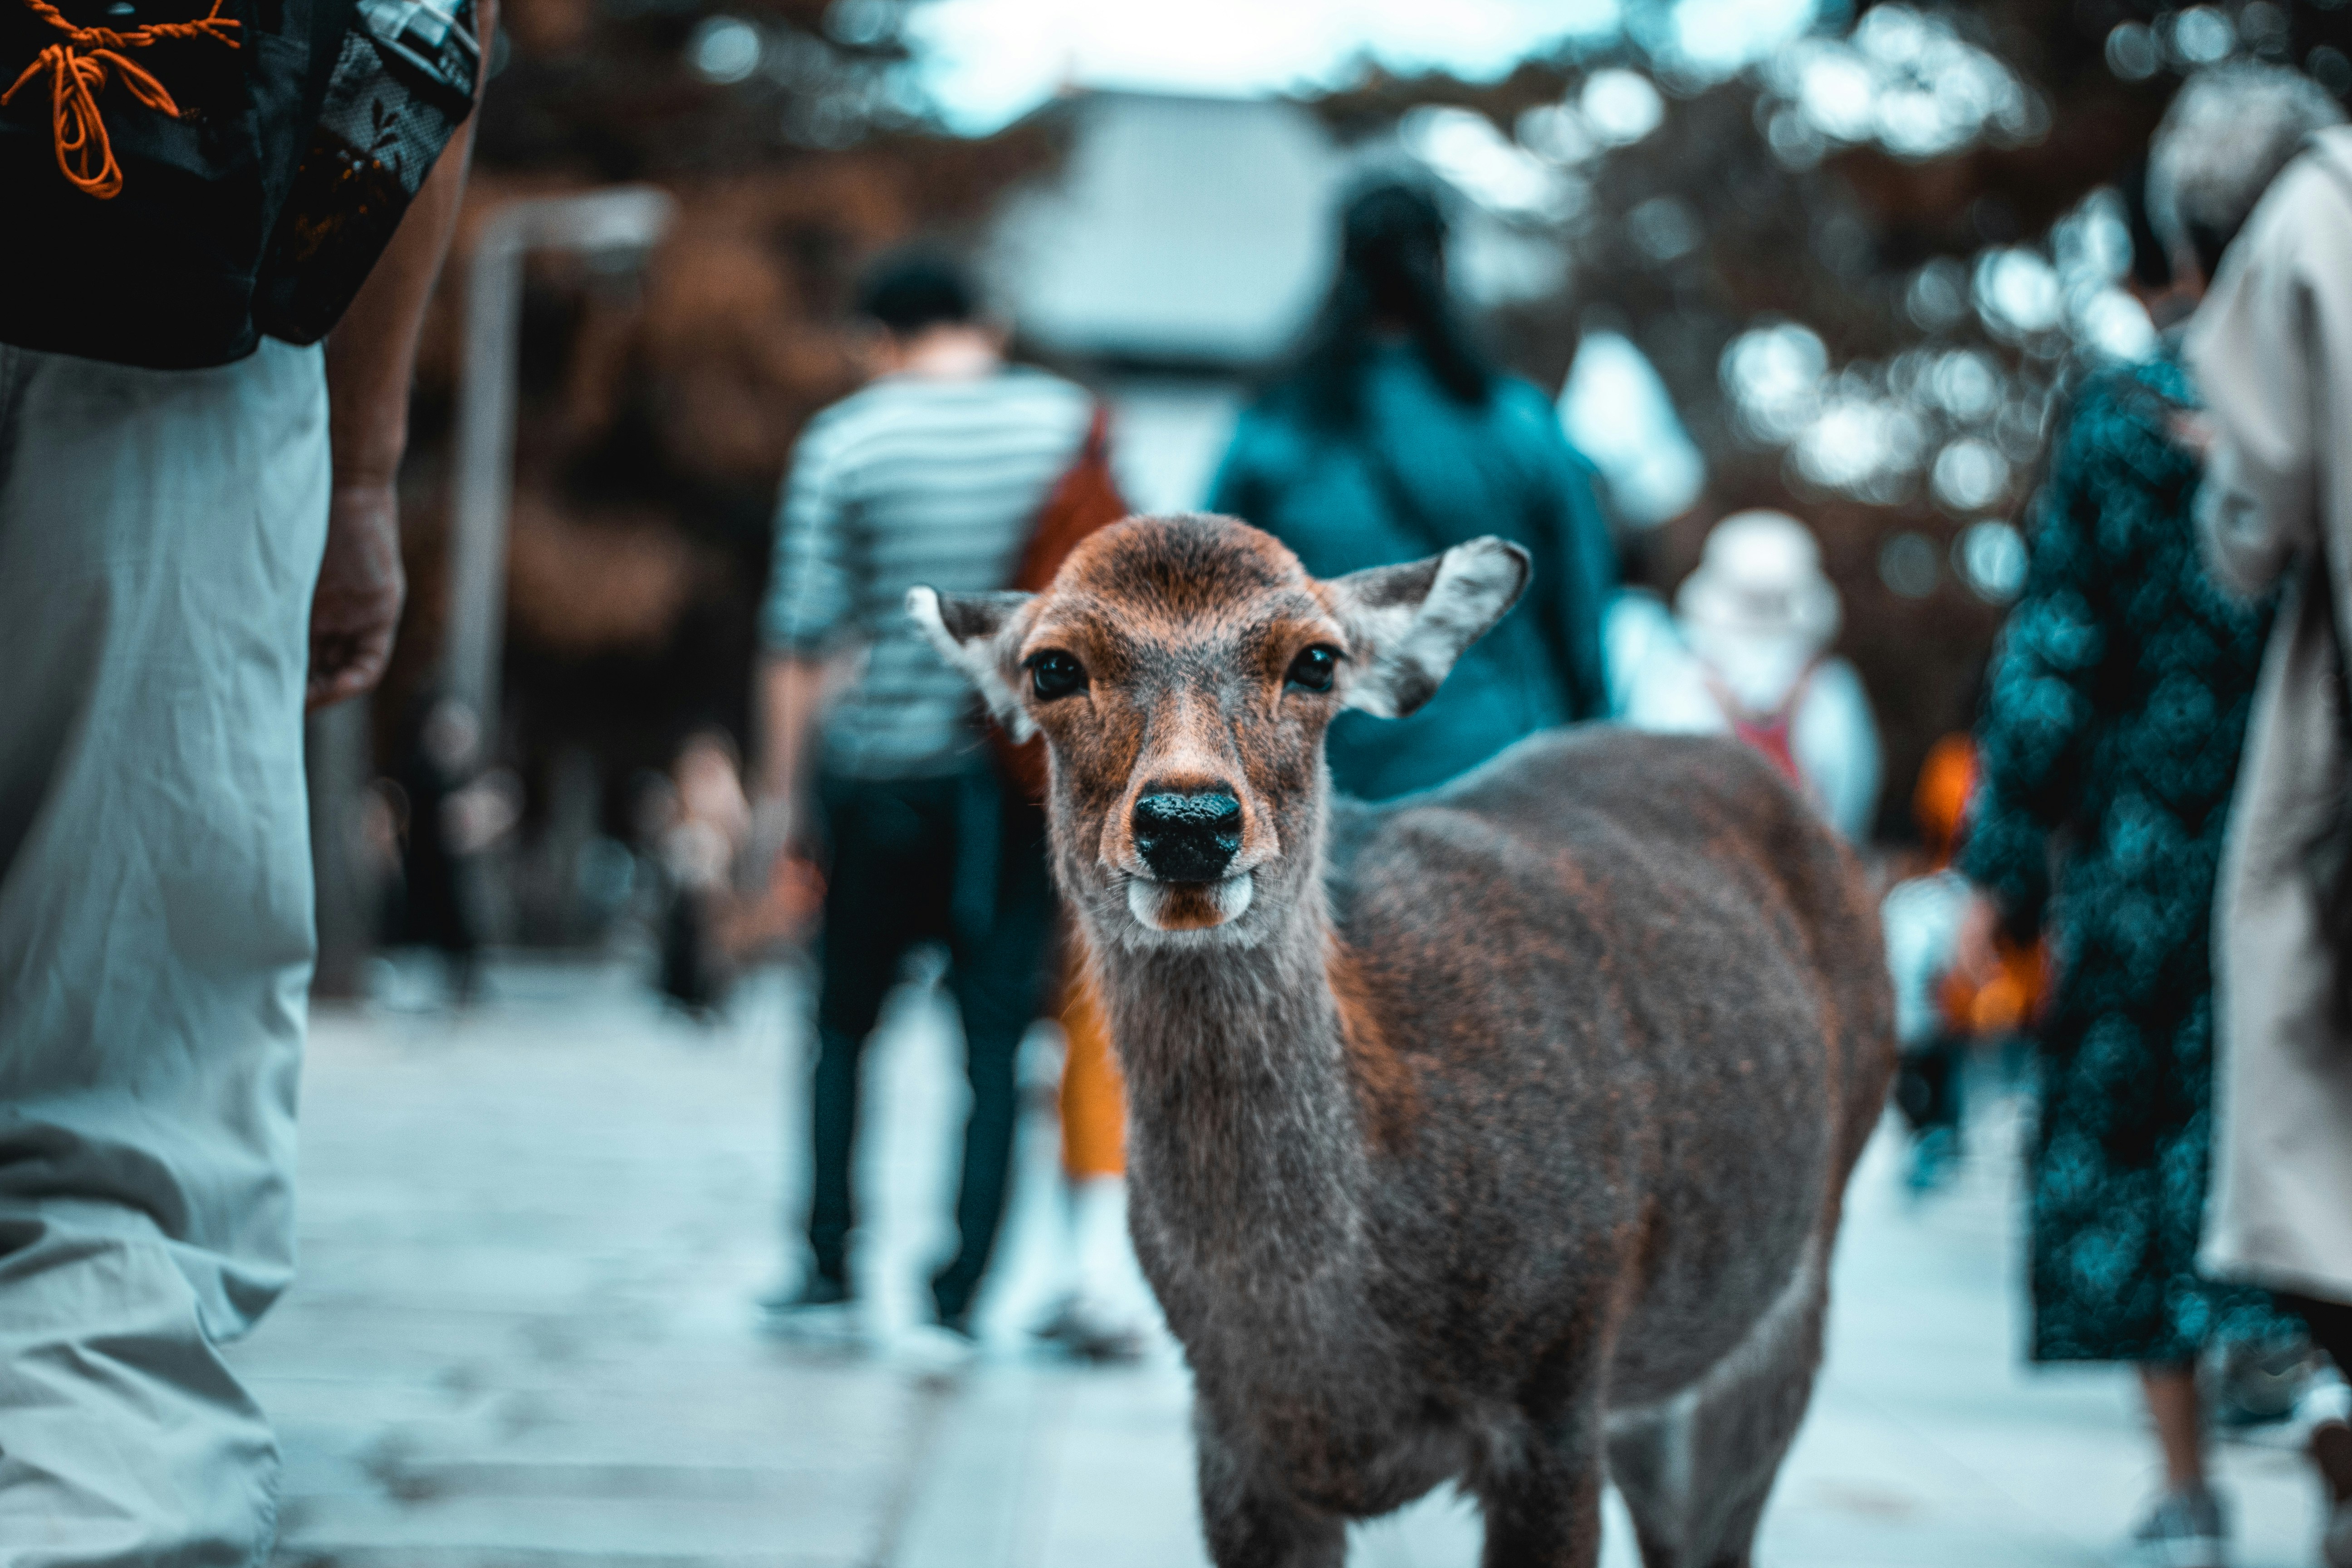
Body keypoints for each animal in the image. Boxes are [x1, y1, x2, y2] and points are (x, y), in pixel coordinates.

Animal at [909, 514, 1892, 1568]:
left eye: (1316, 660)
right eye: (1052, 667)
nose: (1188, 820)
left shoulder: (1558, 1385)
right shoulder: (1232, 1438)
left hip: (1775, 1315)